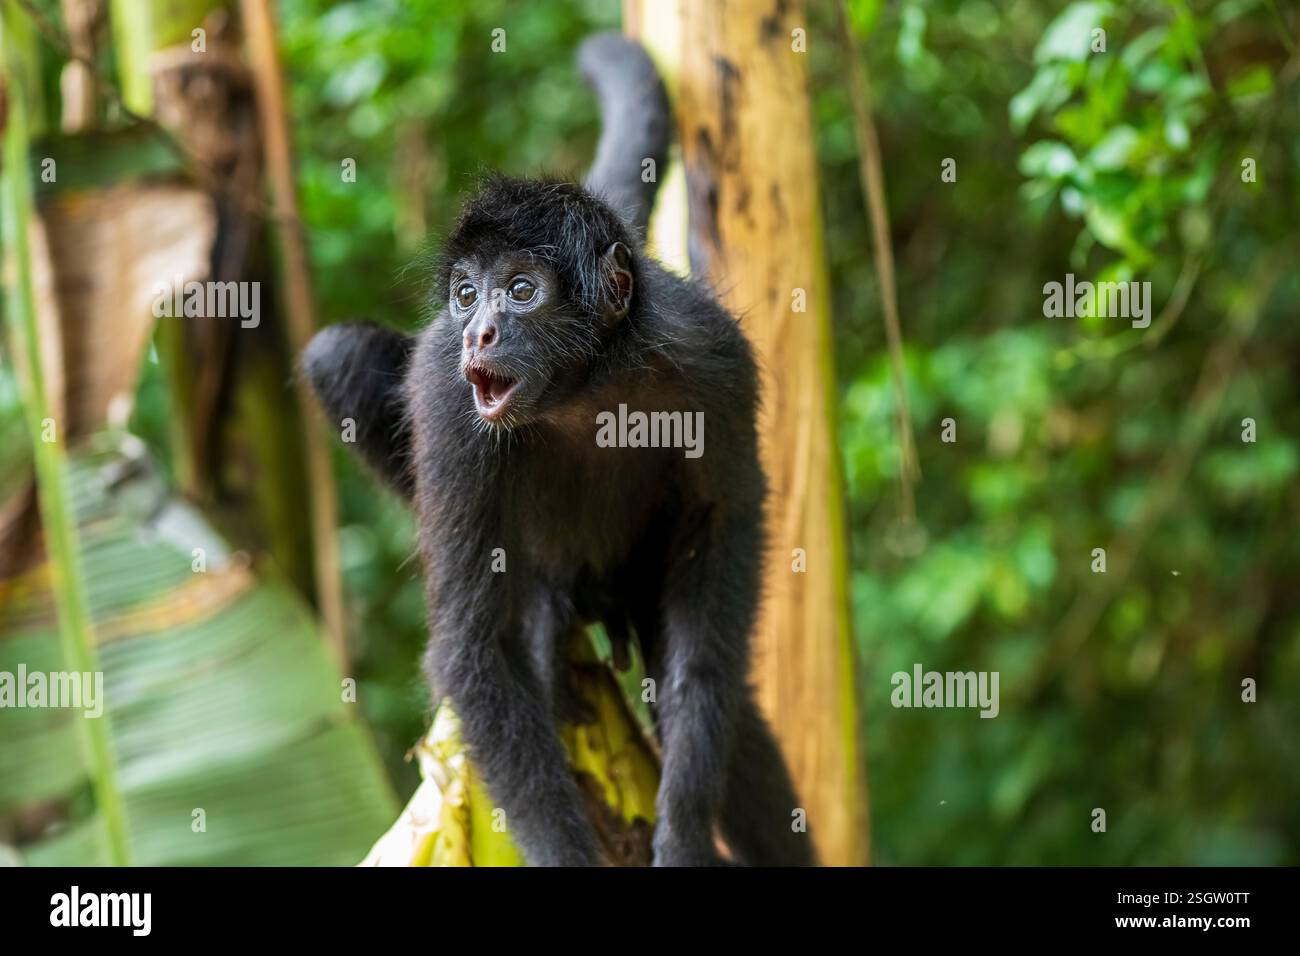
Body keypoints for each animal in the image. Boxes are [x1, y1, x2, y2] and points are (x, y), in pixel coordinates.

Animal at [302, 33, 813, 867]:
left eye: (521, 289)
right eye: (467, 294)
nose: (478, 332)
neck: (579, 392)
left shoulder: (713, 356)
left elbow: (715, 576)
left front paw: (683, 835)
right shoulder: (448, 397)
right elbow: (473, 648)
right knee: (336, 354)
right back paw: (547, 604)